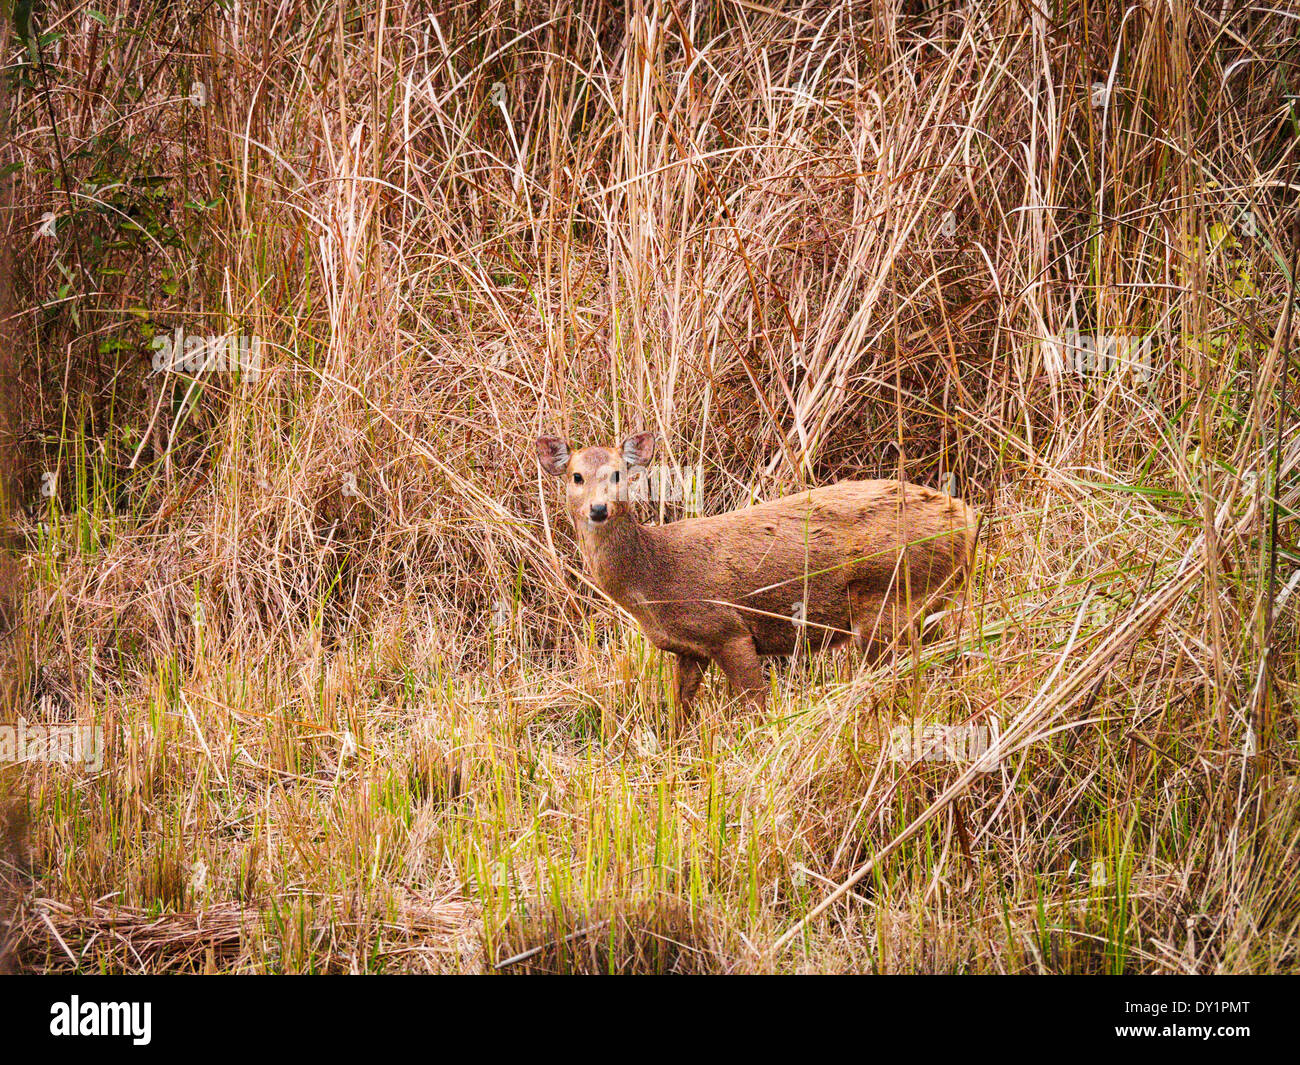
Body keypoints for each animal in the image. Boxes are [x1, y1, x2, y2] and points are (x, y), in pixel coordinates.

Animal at [536, 431, 978, 714]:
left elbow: (757, 706)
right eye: (576, 476)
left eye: (618, 474)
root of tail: (969, 520)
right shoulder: (689, 649)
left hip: (889, 600)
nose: (598, 509)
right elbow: (680, 711)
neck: (655, 578)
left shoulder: (727, 629)